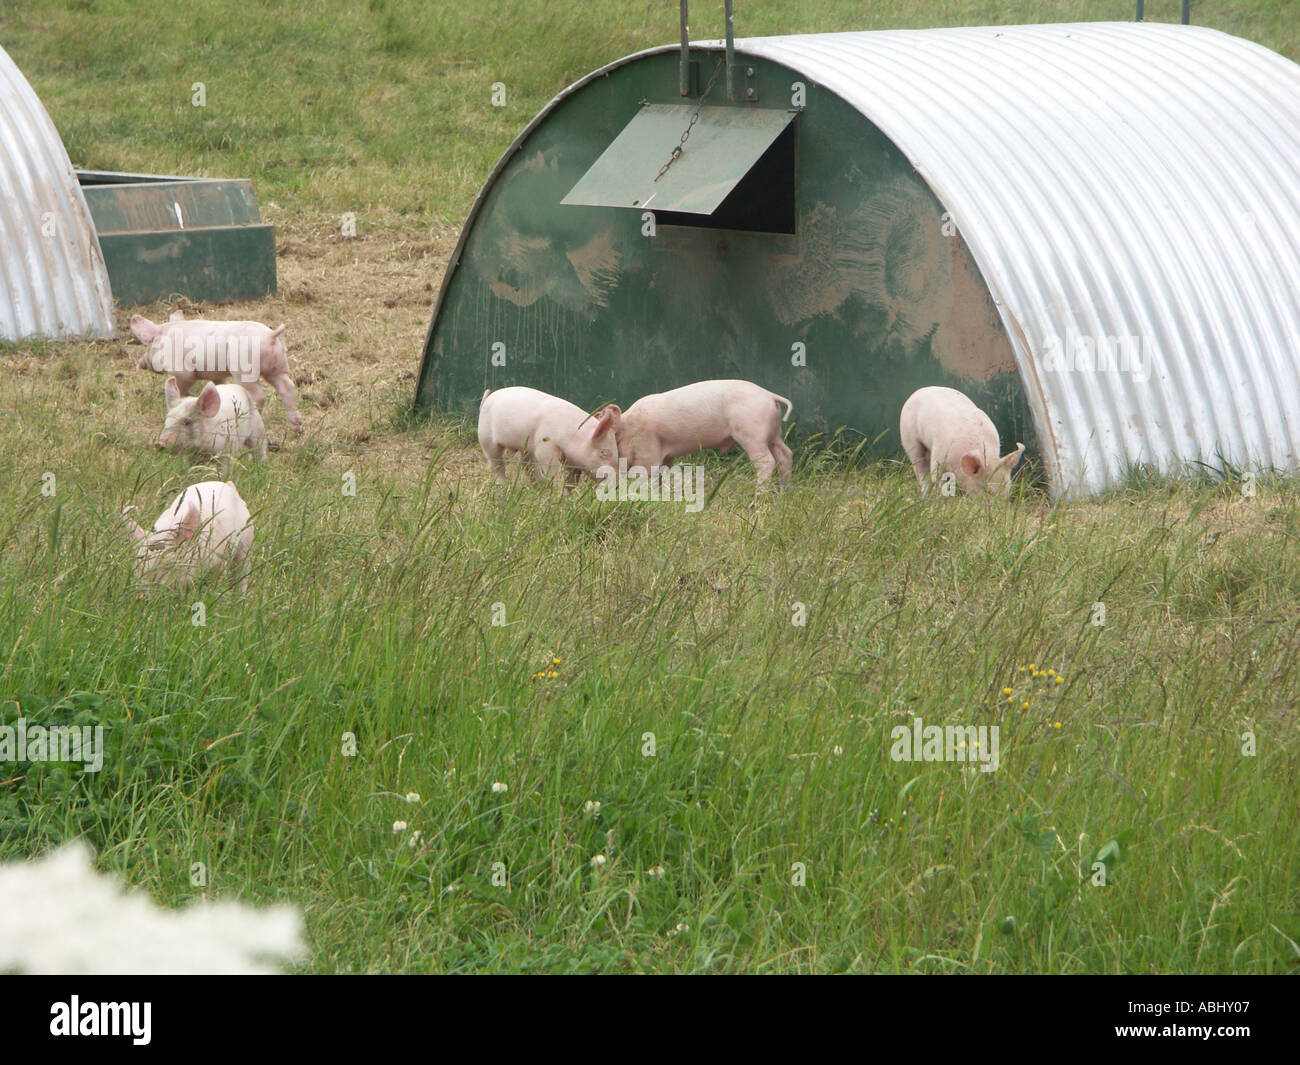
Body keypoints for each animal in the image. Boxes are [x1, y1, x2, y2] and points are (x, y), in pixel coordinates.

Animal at [130, 311, 302, 431]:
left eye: (147, 346)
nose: (140, 363)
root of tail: (270, 336)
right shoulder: (216, 374)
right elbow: (219, 385)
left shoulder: (182, 370)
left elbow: (183, 385)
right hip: (278, 367)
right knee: (287, 387)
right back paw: (296, 426)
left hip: (243, 369)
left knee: (259, 395)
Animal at [477, 386, 621, 486]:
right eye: (604, 453)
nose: (617, 483)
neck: (573, 435)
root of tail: (487, 399)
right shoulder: (546, 445)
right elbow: (552, 469)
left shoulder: (574, 461)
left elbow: (571, 481)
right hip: (486, 438)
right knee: (496, 465)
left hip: (525, 449)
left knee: (527, 465)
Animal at [615, 379, 793, 484]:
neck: (627, 429)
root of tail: (769, 395)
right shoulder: (666, 456)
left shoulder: (647, 448)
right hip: (773, 434)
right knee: (785, 454)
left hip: (752, 434)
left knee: (767, 461)